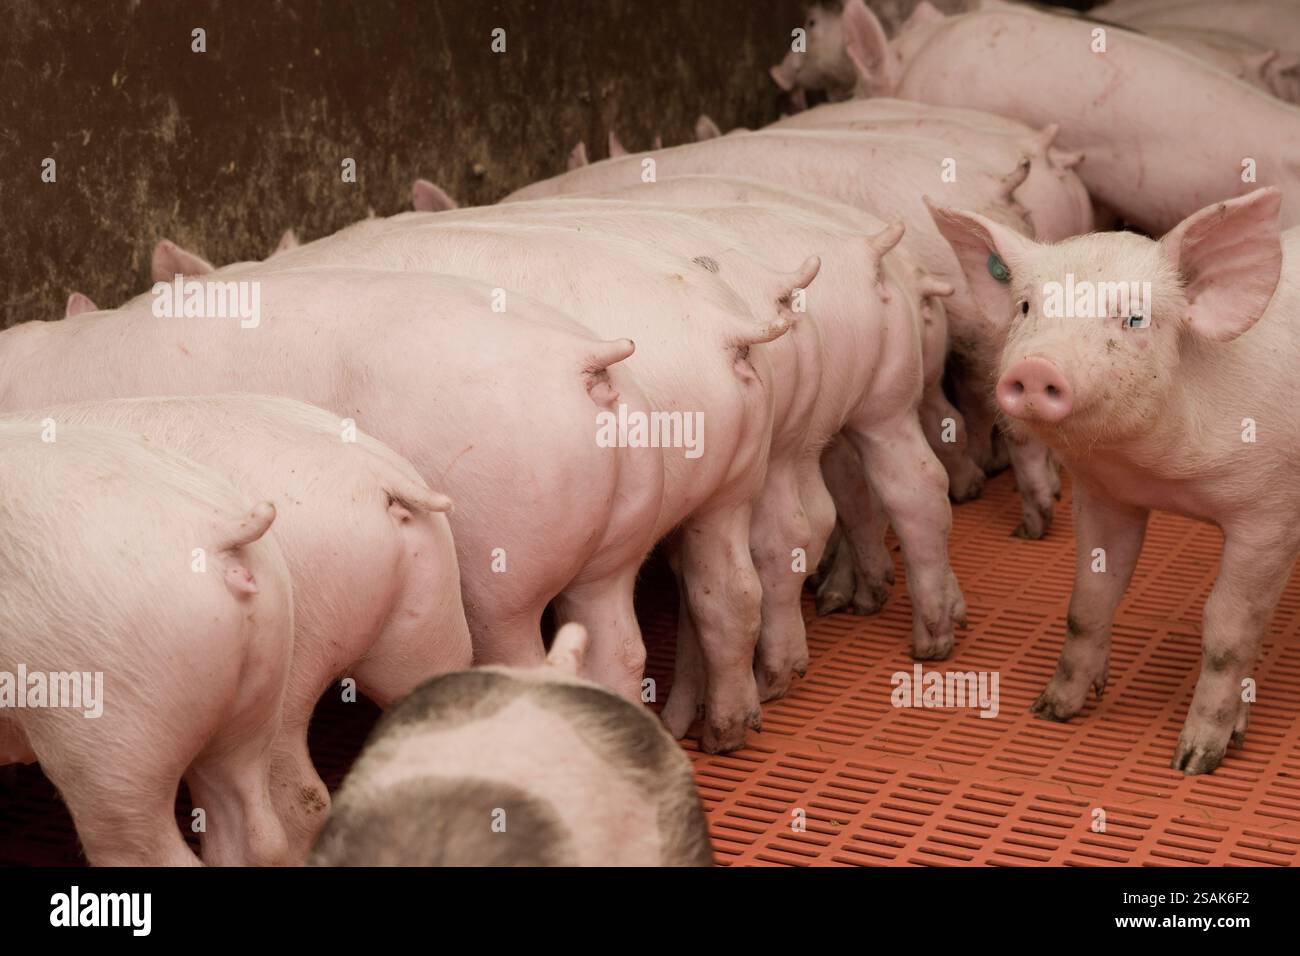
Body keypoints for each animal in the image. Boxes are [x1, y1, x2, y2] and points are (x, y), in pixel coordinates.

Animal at [929, 186, 1298, 774]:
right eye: (1027, 307)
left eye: (1135, 318)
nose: (1036, 367)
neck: (1161, 477)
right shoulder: (1104, 497)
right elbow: (1088, 602)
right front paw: (1053, 710)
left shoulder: (1270, 515)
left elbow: (1227, 632)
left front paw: (1194, 761)